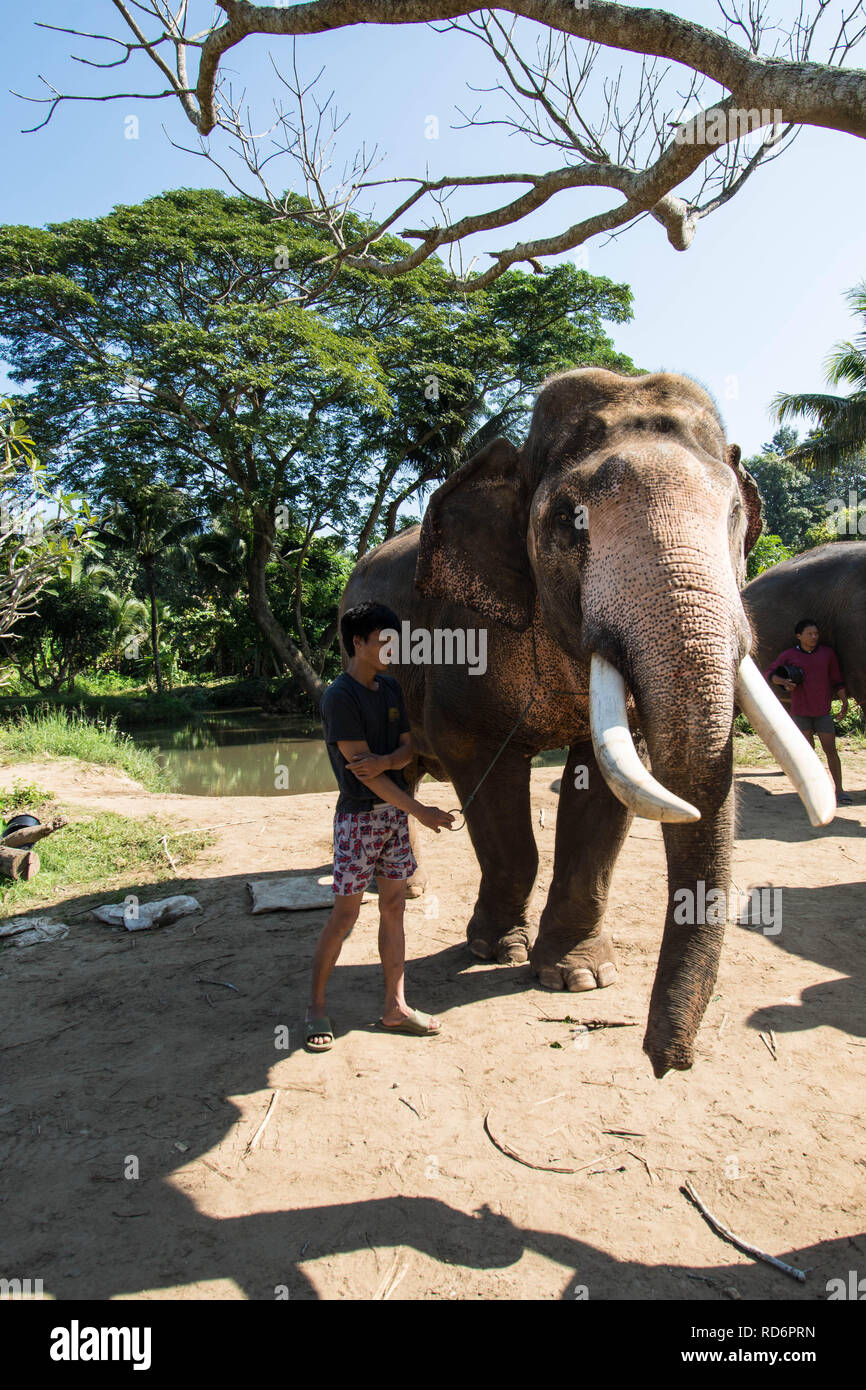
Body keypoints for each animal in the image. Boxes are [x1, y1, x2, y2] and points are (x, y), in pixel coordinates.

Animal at [339, 368, 834, 1077]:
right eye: (567, 520)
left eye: (736, 519)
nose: (666, 1062)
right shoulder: (462, 639)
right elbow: (488, 777)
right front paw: (494, 950)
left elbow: (606, 789)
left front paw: (575, 977)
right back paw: (403, 888)